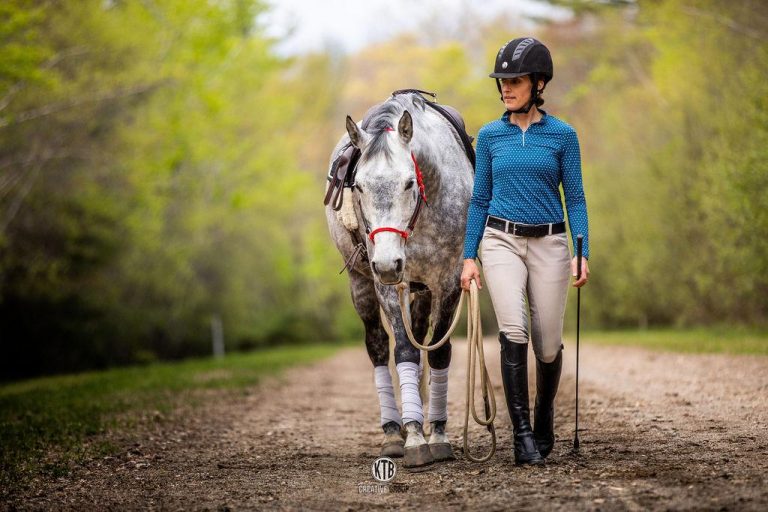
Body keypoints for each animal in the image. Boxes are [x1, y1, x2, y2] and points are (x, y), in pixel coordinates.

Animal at [325, 92, 473, 468]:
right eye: (358, 186)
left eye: (408, 182)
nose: (389, 263)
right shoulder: (385, 284)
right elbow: (404, 350)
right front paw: (415, 439)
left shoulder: (449, 280)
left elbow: (438, 352)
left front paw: (437, 434)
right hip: (361, 281)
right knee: (378, 345)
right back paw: (394, 431)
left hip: (420, 289)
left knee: (422, 341)